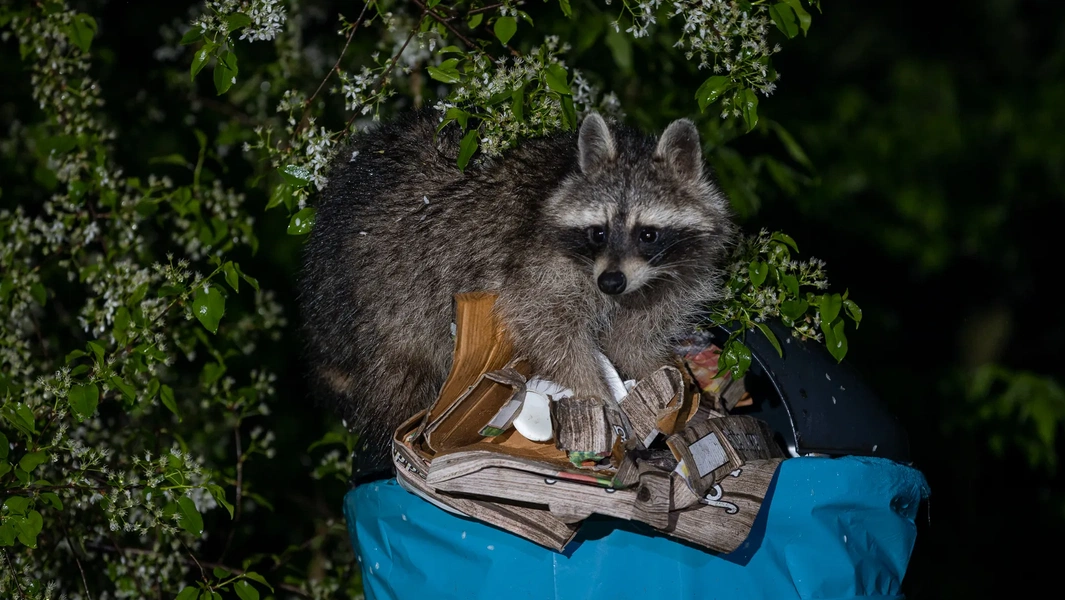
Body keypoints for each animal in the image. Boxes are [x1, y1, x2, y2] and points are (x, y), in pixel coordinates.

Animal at [298, 110, 735, 478]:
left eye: (647, 234)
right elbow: (546, 326)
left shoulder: (669, 280)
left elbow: (633, 340)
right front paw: (597, 394)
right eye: (598, 232)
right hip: (381, 301)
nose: (610, 283)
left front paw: (670, 386)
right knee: (399, 380)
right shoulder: (537, 263)